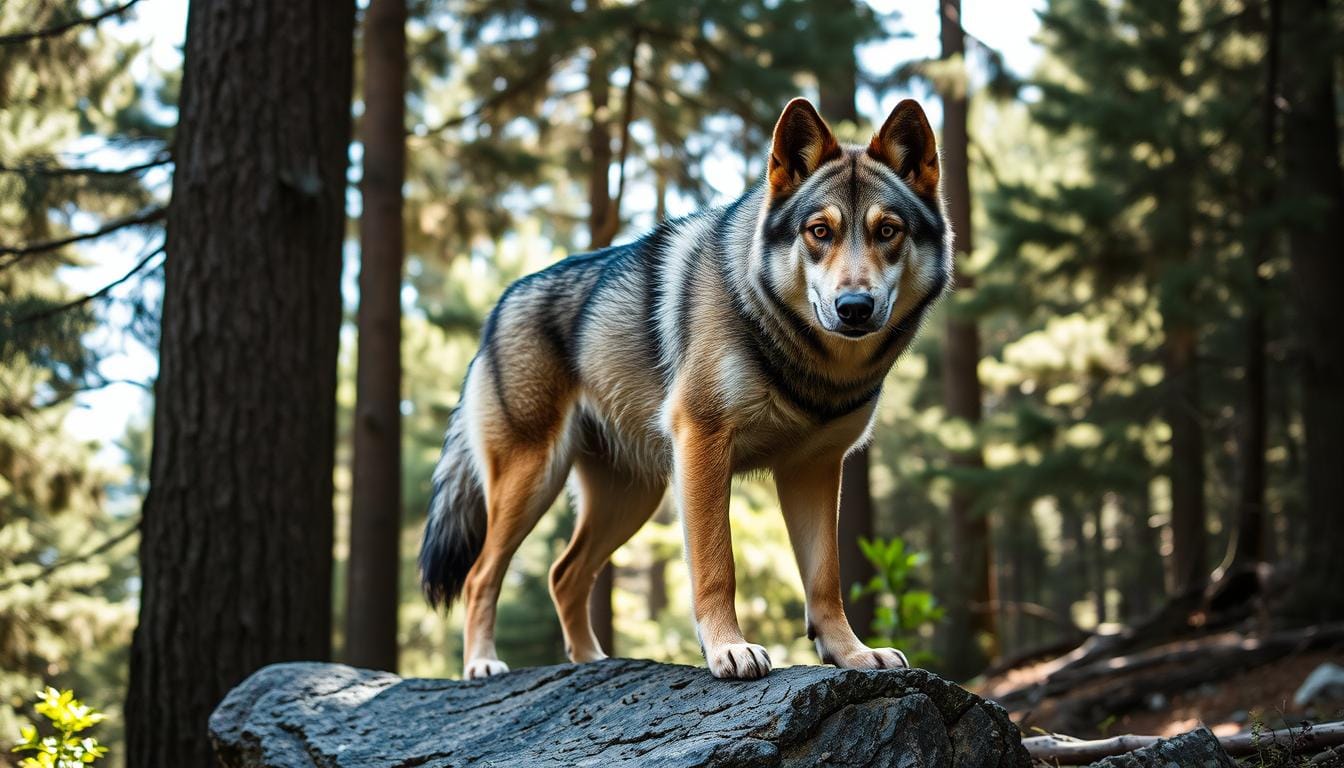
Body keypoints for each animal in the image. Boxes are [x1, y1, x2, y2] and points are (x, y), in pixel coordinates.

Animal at [419, 97, 952, 680]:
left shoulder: (814, 469)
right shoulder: (703, 442)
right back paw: (482, 664)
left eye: (887, 231)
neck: (809, 365)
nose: (854, 307)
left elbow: (825, 580)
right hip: (533, 480)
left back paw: (593, 660)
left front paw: (852, 653)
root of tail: (497, 308)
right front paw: (728, 649)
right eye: (819, 231)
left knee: (564, 575)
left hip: (631, 498)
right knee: (481, 575)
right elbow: (718, 565)